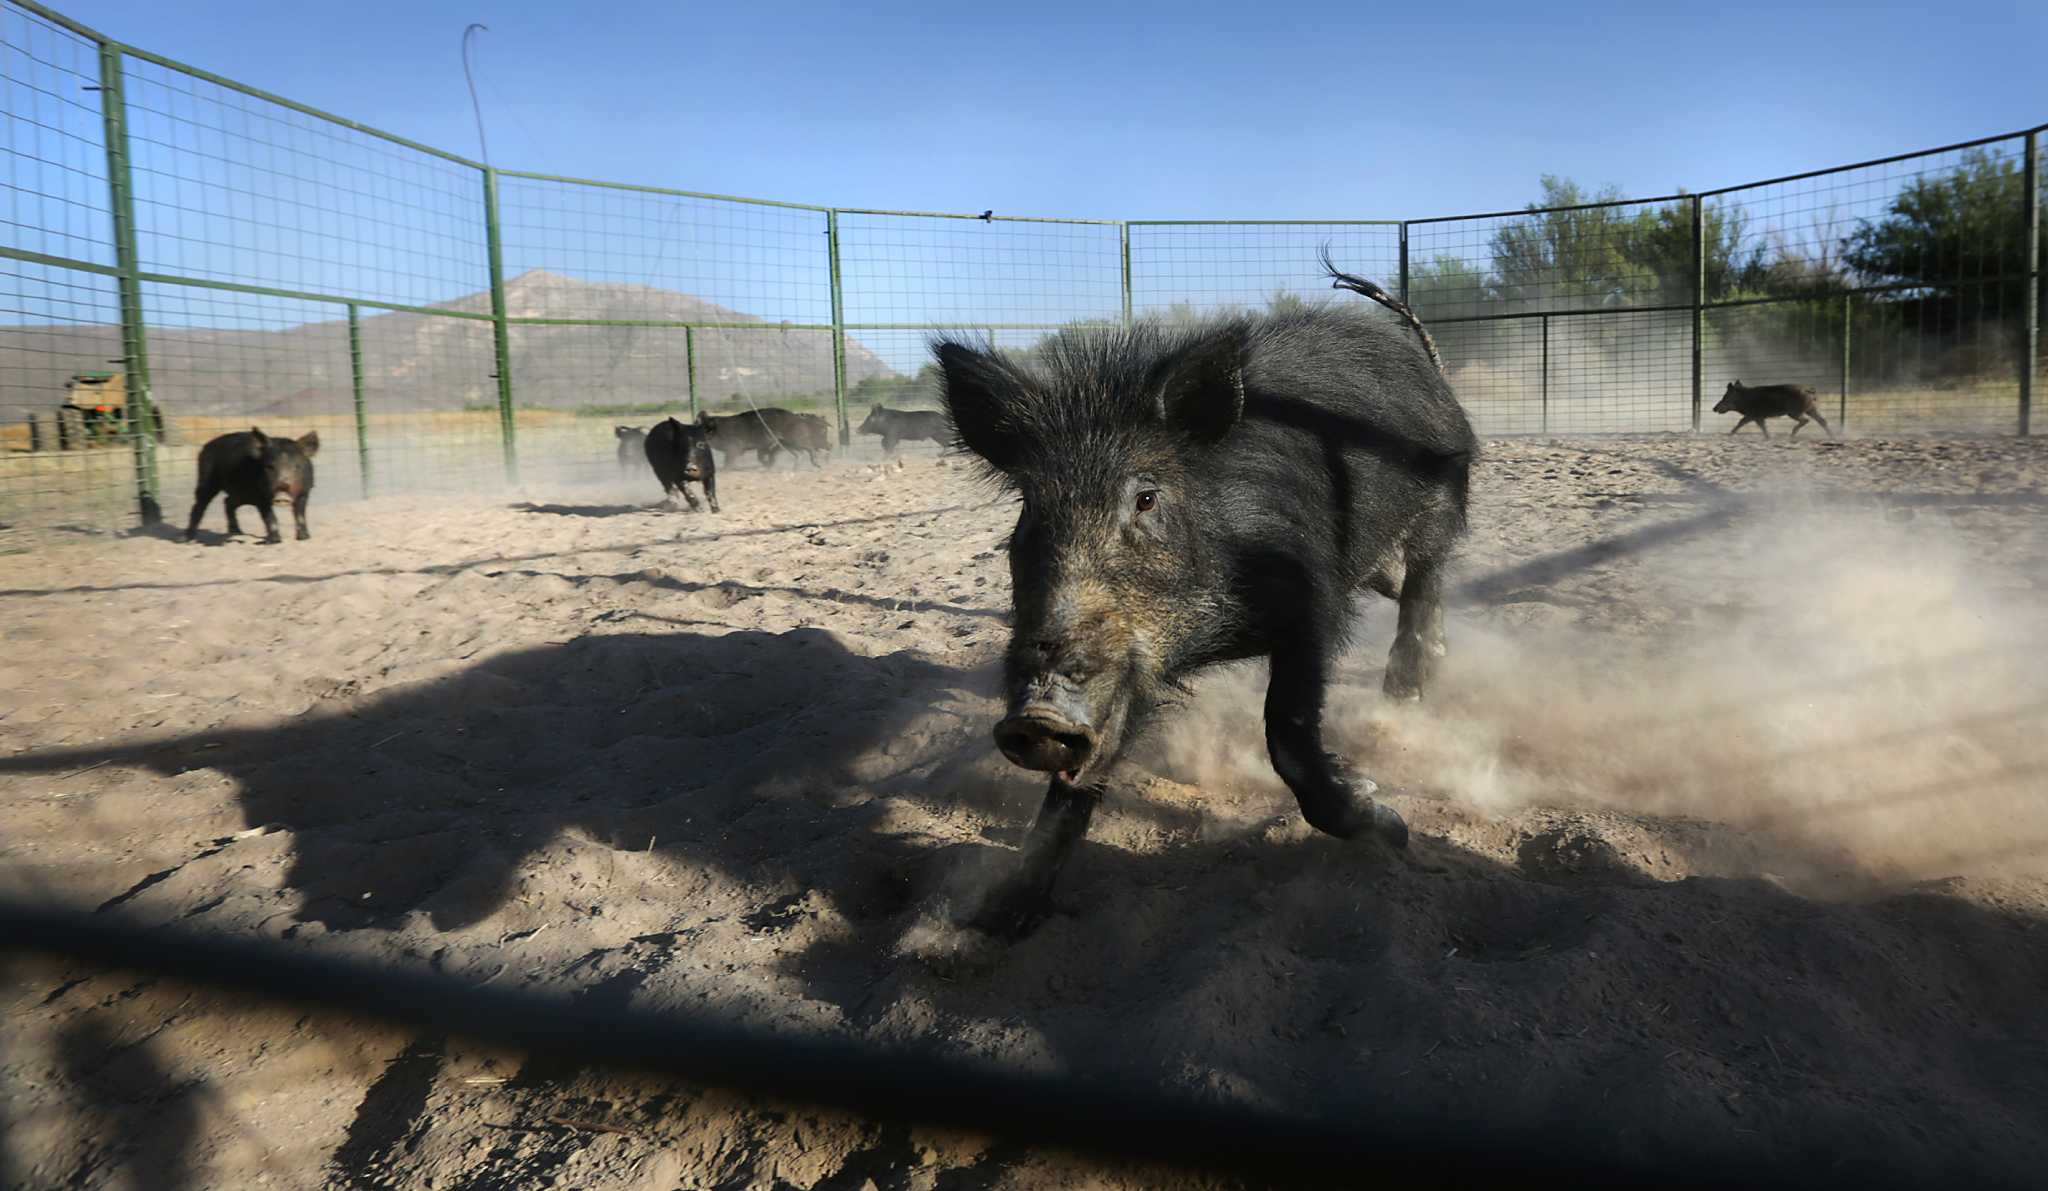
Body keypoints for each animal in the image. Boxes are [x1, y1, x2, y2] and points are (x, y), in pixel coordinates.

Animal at [185, 427, 319, 544]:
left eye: (297, 466)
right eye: (270, 466)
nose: (282, 495)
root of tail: (205, 446)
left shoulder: (305, 492)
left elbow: (300, 515)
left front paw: (305, 538)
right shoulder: (260, 496)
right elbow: (269, 517)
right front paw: (274, 541)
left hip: (241, 493)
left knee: (228, 501)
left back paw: (237, 532)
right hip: (206, 478)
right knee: (199, 505)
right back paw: (187, 539)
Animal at [937, 259, 1474, 934]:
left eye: (1146, 498)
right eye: (1031, 510)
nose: (1037, 717)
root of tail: (1424, 365)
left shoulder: (1310, 603)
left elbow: (1287, 731)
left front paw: (1389, 823)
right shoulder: (1131, 671)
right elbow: (1079, 781)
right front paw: (995, 920)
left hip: (1442, 495)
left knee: (1425, 579)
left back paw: (1406, 694)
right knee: (1403, 586)